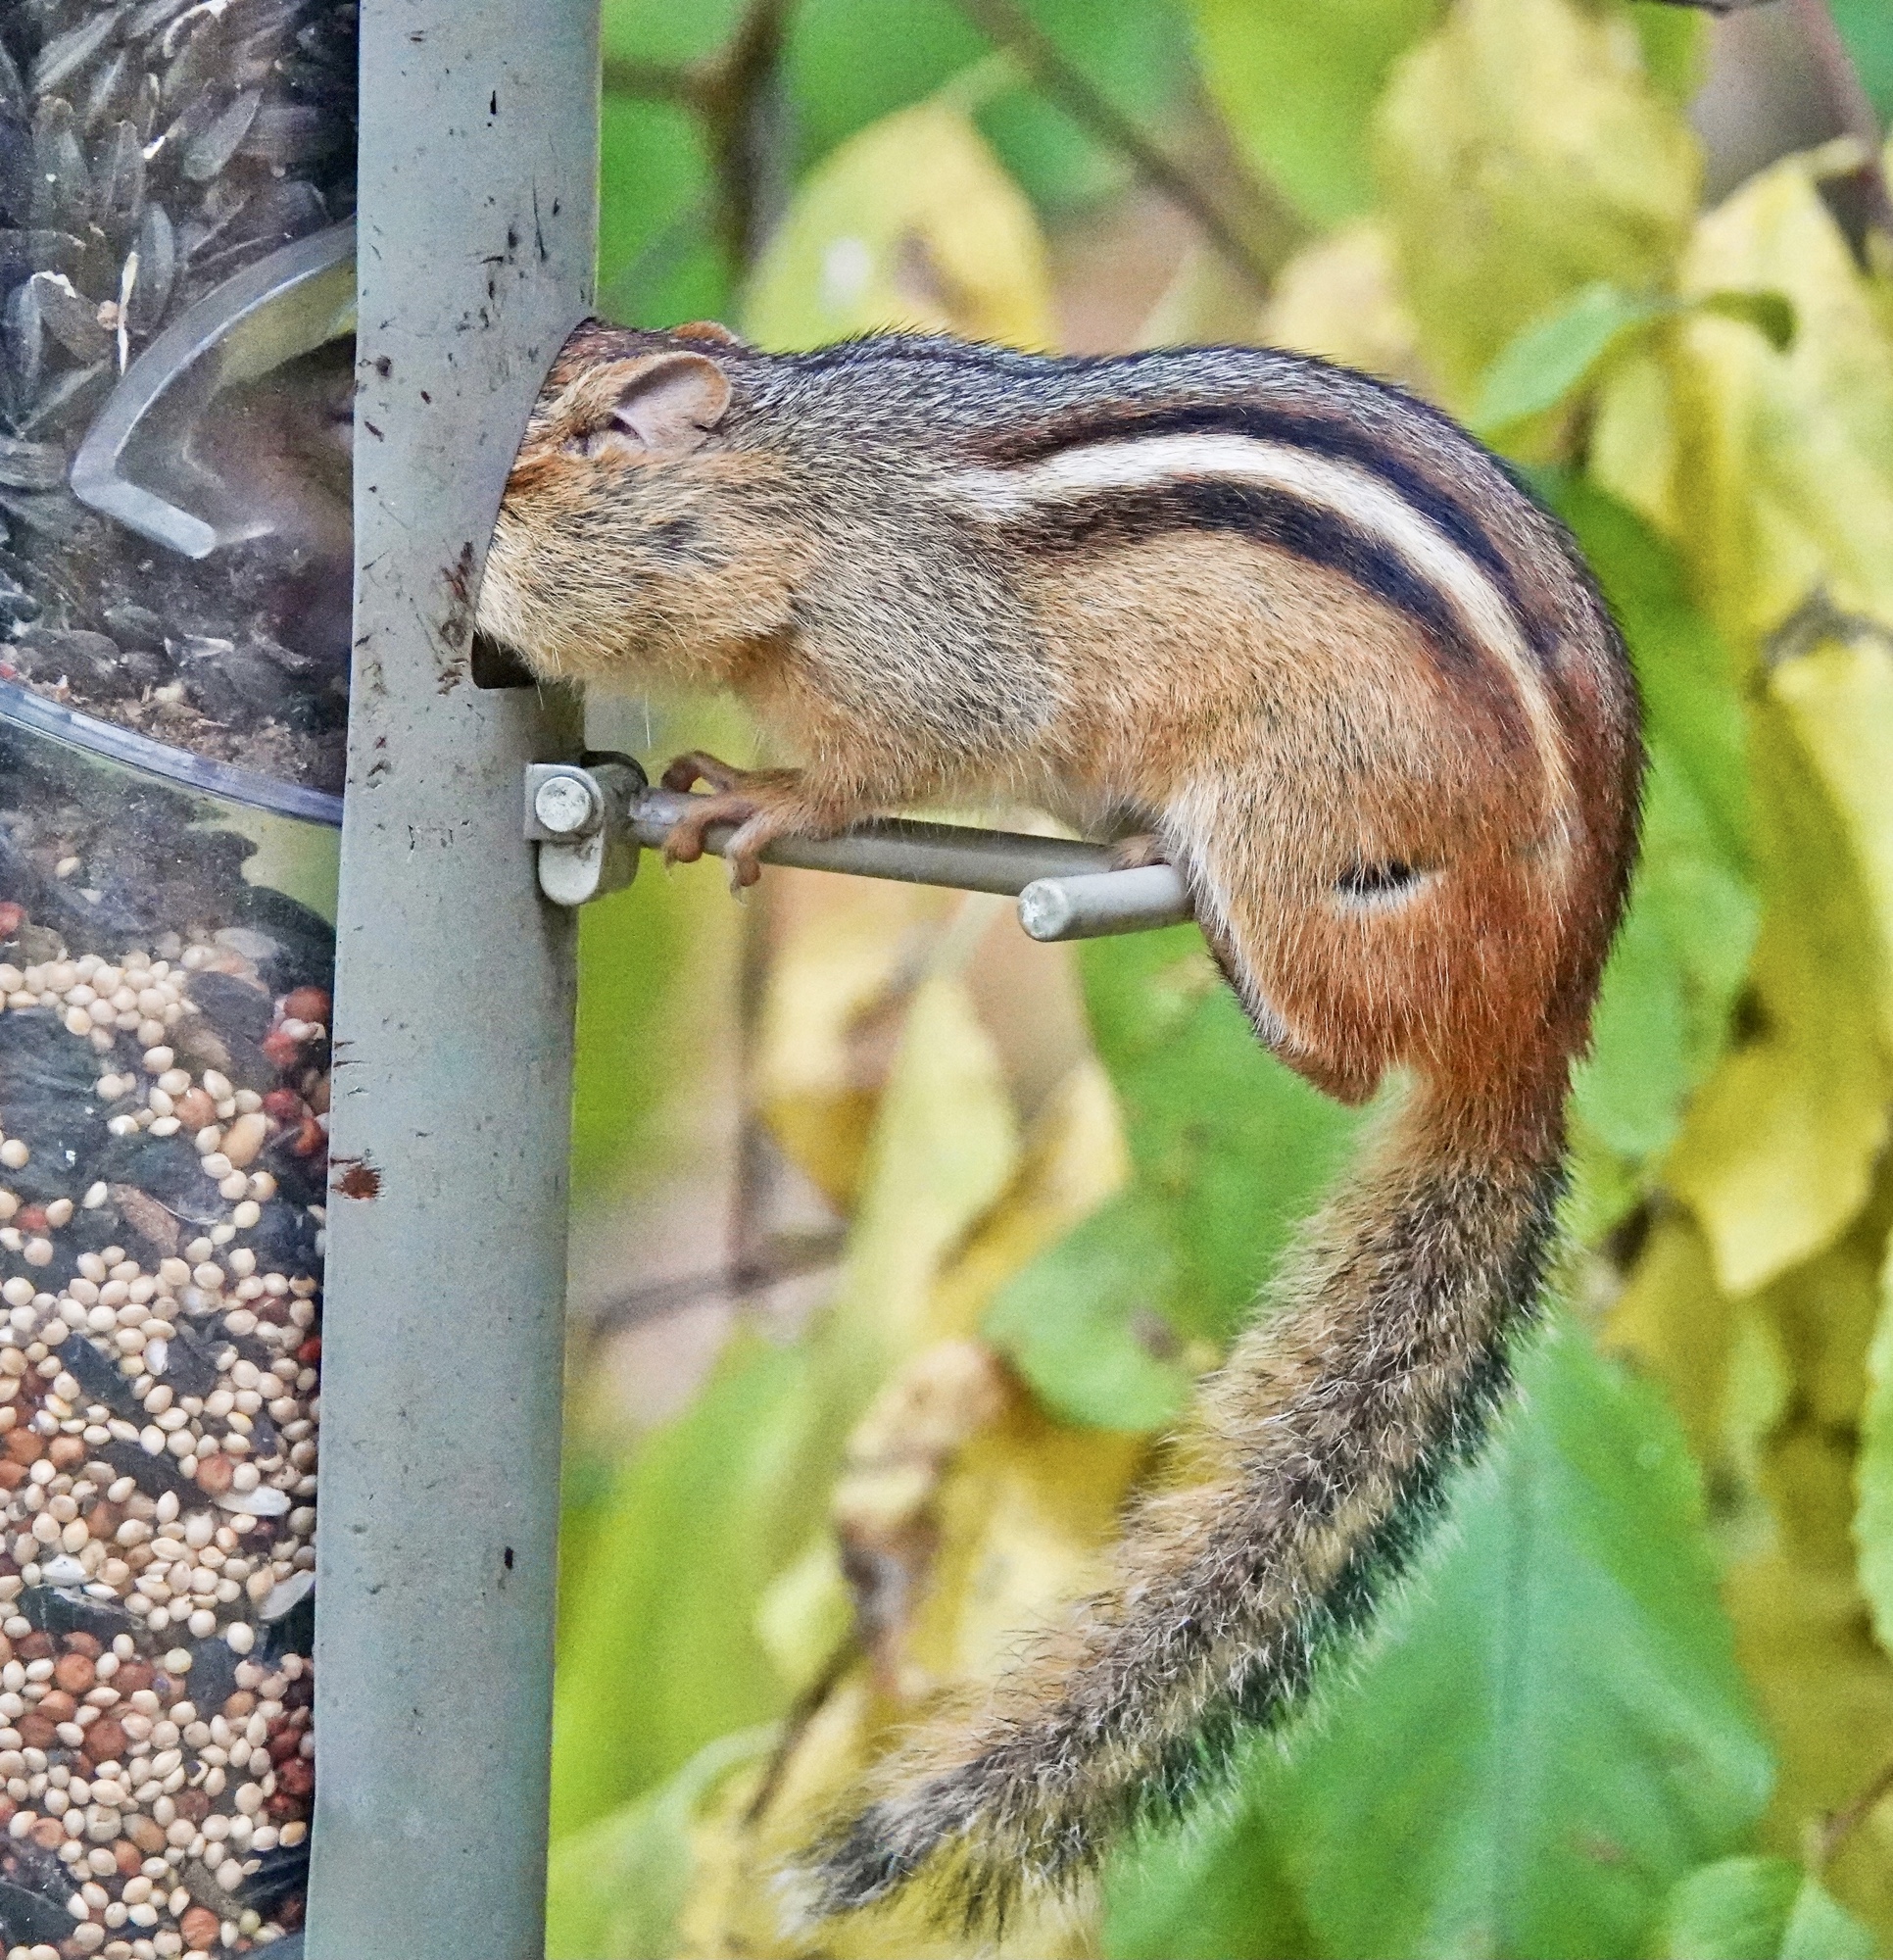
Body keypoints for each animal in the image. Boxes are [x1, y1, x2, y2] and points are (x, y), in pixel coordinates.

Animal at [475, 318, 1642, 1929]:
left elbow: (874, 770)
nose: (467, 609)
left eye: (533, 482)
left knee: (1339, 1052)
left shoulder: (922, 658)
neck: (801, 489)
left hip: (1297, 846)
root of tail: (1535, 1031)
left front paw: (754, 797)